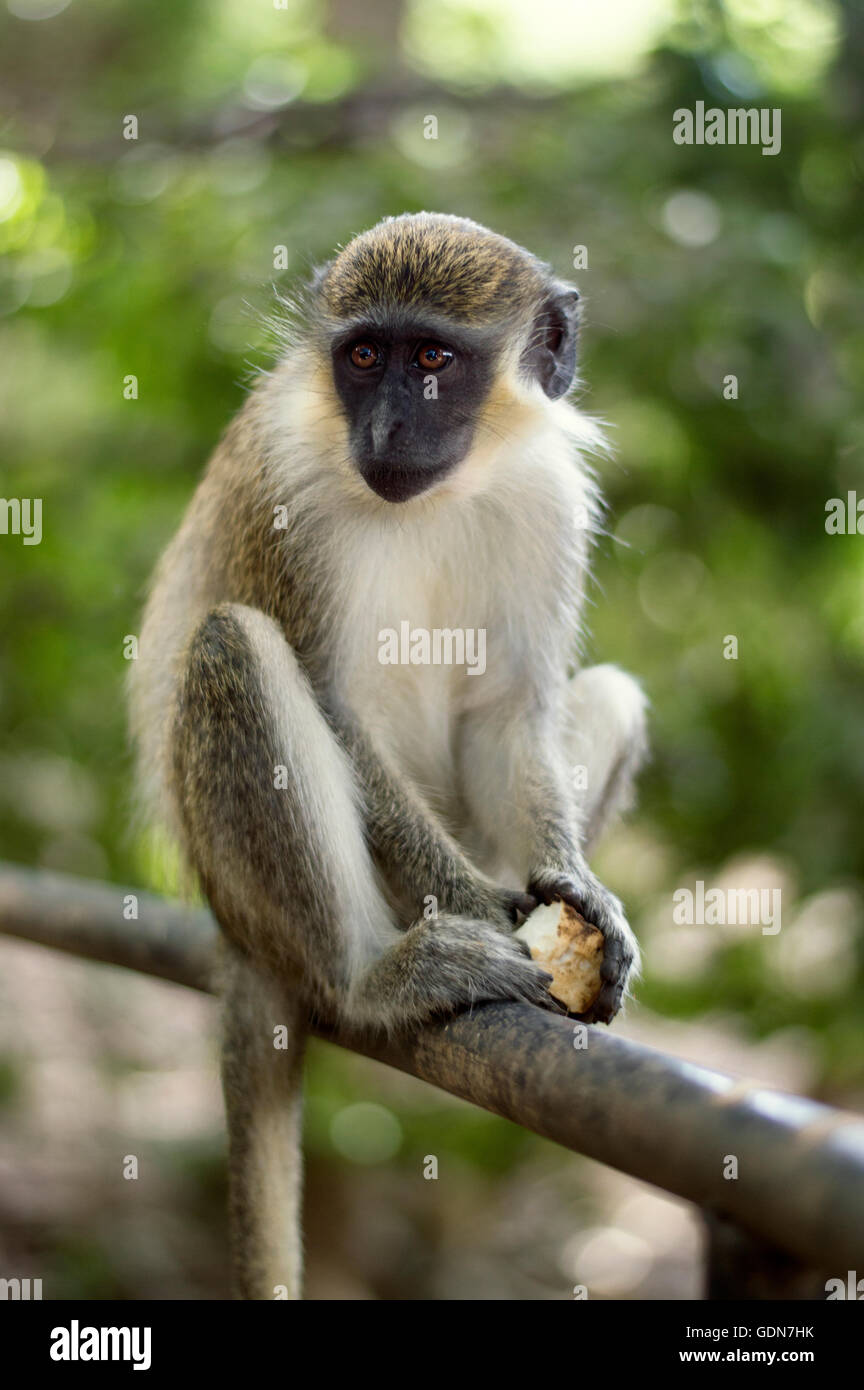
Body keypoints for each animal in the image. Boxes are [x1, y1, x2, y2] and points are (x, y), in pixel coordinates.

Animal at [128, 211, 648, 1300]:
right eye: (365, 358)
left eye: (434, 361)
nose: (386, 431)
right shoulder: (287, 482)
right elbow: (336, 704)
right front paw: (486, 909)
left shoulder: (550, 497)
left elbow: (508, 712)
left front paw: (575, 894)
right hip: (253, 888)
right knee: (233, 645)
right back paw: (372, 979)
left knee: (610, 693)